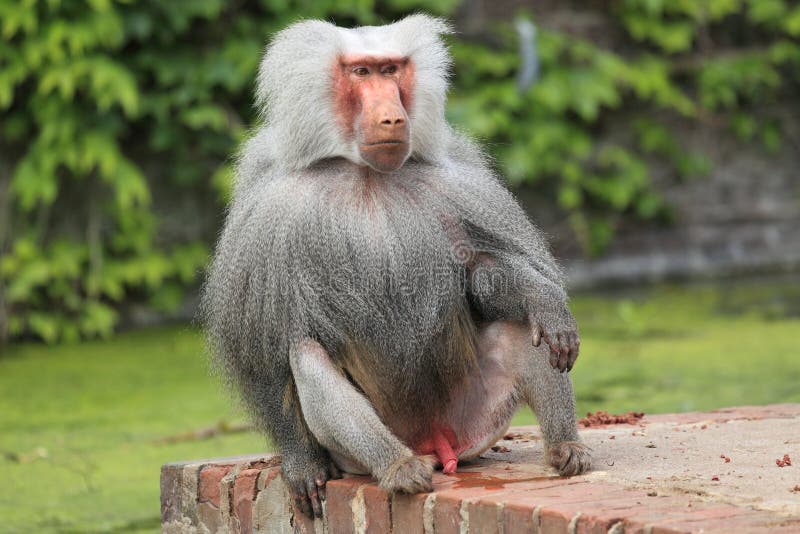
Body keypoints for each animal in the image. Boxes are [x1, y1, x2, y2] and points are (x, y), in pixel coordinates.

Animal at [202, 15, 591, 519]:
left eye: (391, 69)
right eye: (361, 72)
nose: (391, 117)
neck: (367, 173)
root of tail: (432, 443)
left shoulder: (459, 179)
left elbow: (479, 278)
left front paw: (542, 299)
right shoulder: (266, 209)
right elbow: (262, 347)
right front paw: (302, 464)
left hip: (472, 419)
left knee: (521, 327)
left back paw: (566, 447)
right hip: (361, 451)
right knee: (305, 354)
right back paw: (398, 468)